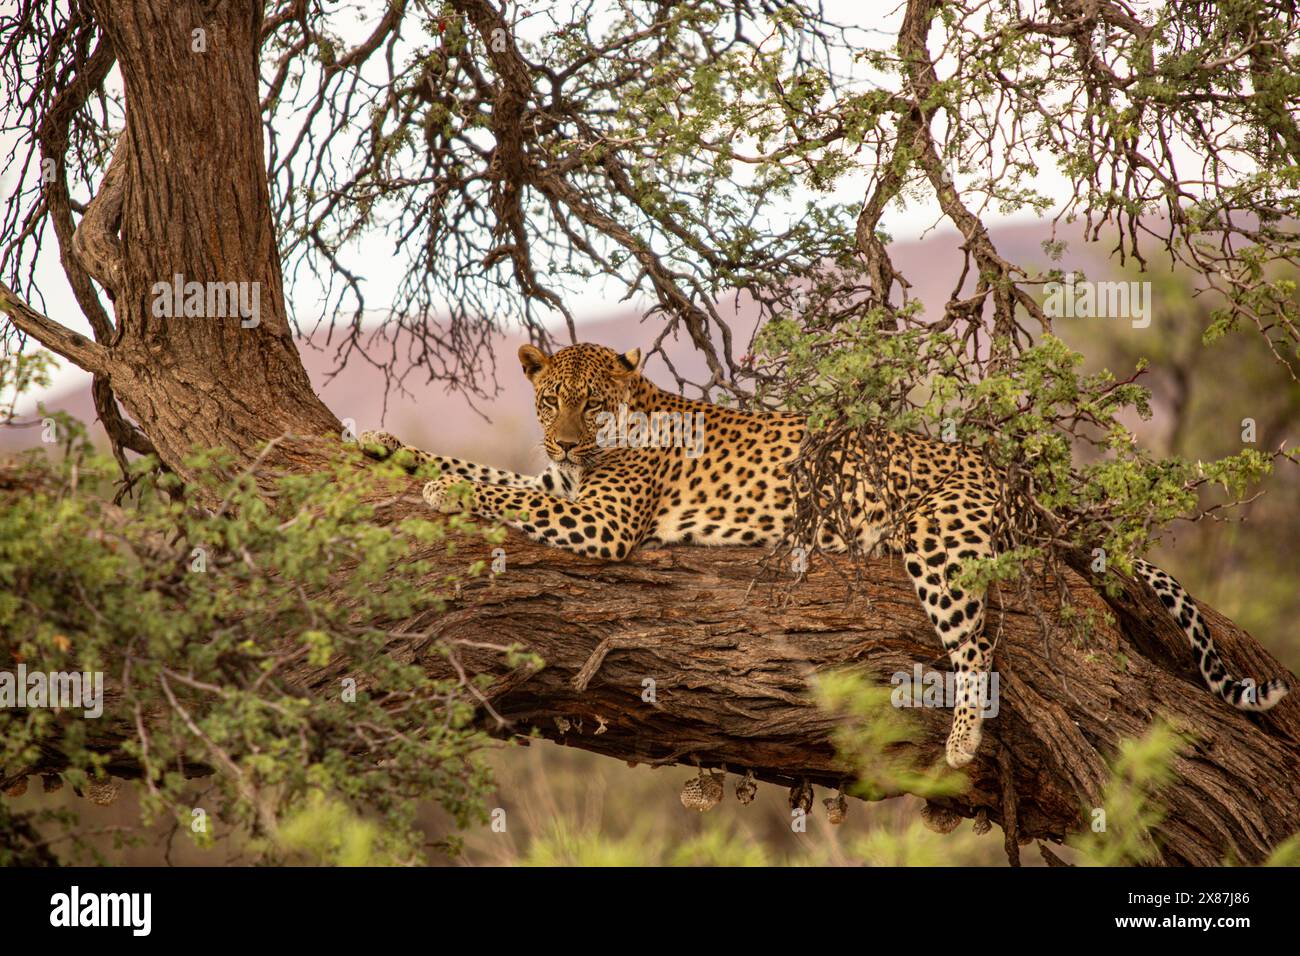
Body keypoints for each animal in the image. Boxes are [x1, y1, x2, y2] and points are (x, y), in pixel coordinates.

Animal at [360, 342, 1290, 768]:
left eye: (594, 404)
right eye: (551, 398)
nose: (566, 441)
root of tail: (1004, 468)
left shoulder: (601, 519)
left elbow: (507, 495)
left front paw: (438, 491)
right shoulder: (565, 488)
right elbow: (493, 472)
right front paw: (387, 448)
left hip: (938, 538)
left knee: (981, 645)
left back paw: (960, 742)